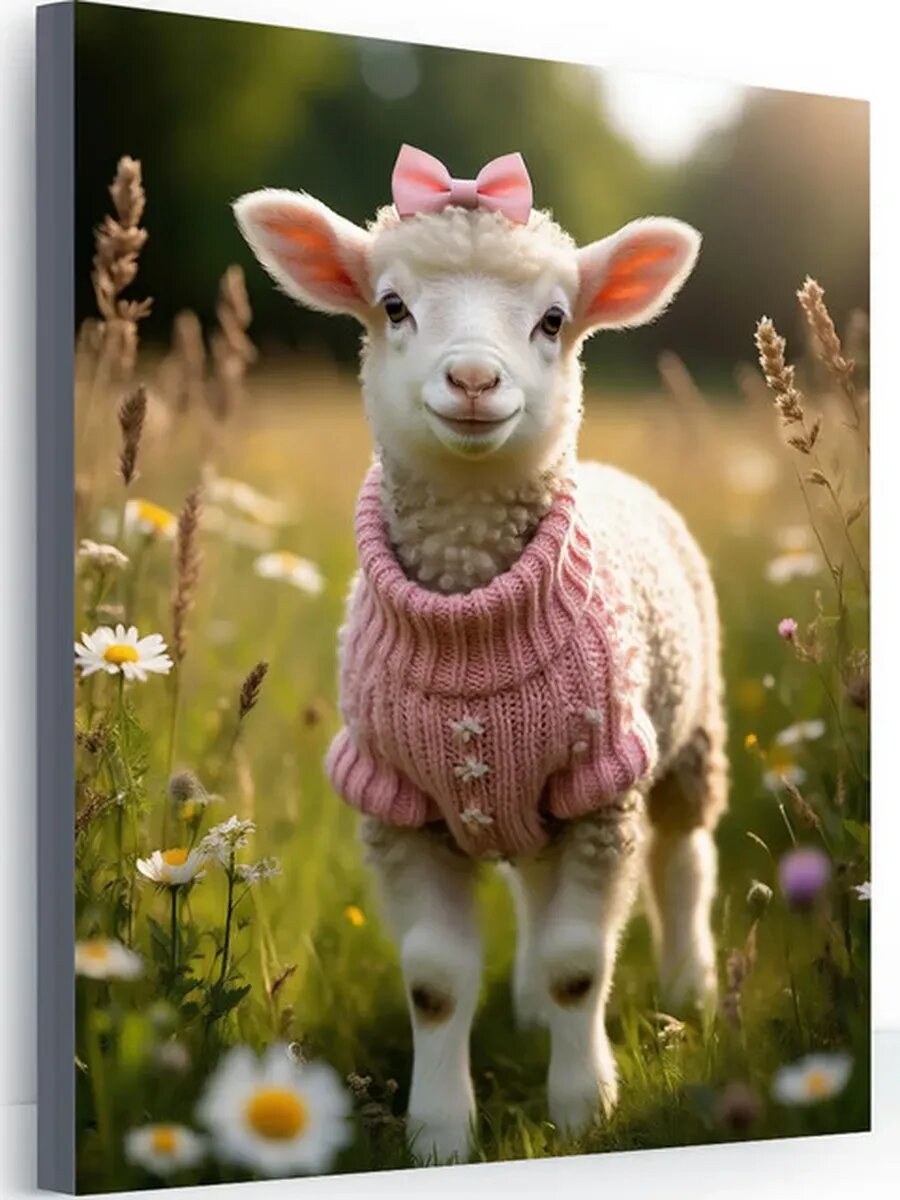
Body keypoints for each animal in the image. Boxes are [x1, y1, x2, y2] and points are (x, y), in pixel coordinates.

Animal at [234, 144, 727, 1165]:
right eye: (392, 306)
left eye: (554, 319)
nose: (470, 378)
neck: (471, 619)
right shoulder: (397, 802)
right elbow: (436, 981)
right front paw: (438, 1132)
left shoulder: (603, 787)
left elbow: (583, 965)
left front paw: (583, 1110)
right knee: (540, 895)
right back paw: (532, 1008)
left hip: (689, 735)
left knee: (684, 857)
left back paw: (688, 987)